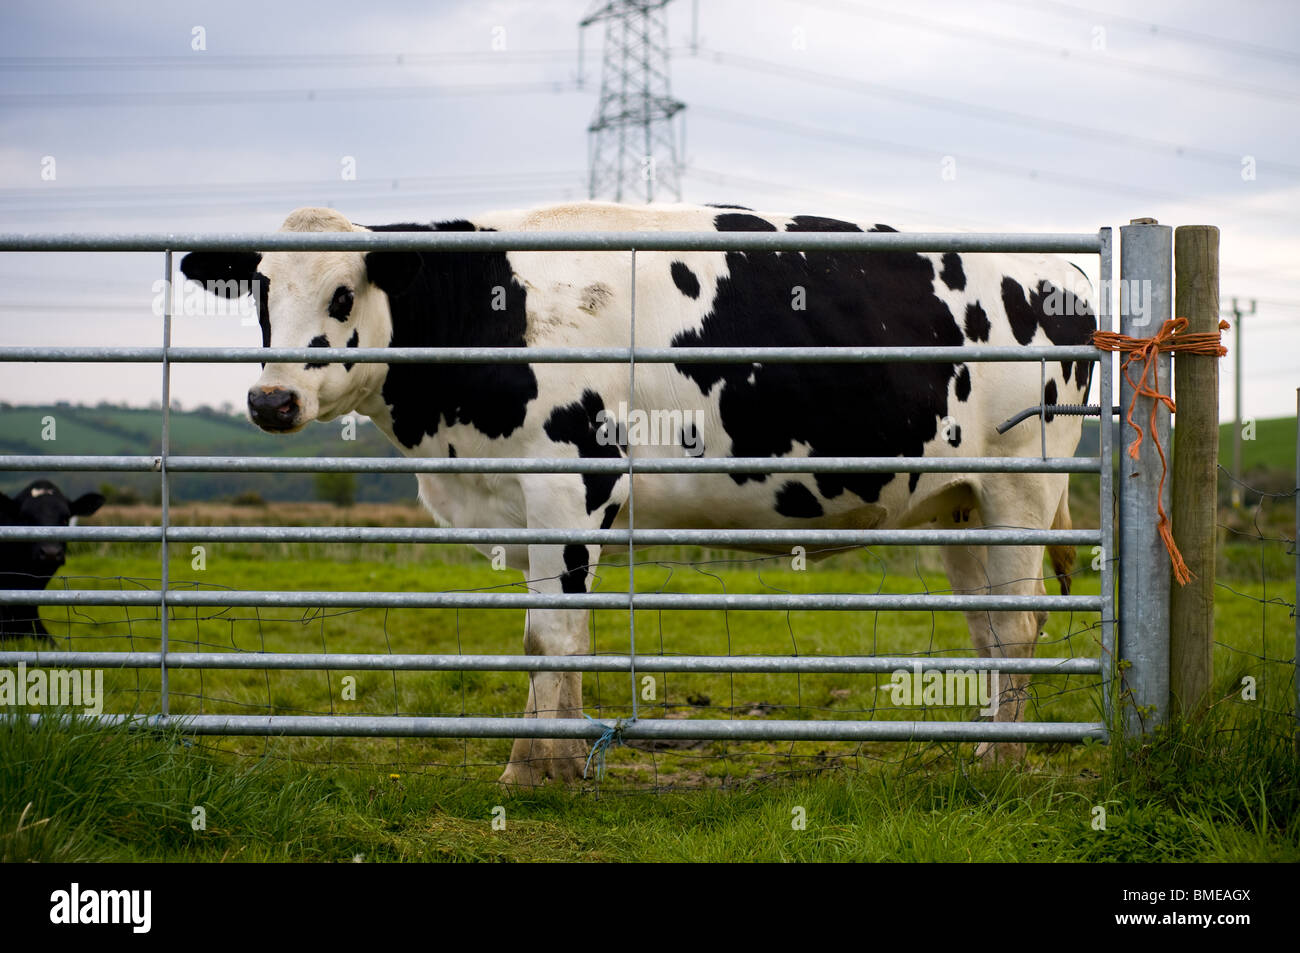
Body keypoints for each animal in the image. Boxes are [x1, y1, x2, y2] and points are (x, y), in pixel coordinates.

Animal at [180, 202, 1095, 784]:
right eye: (261, 294)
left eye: (342, 293)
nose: (271, 400)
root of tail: (1059, 270)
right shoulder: (533, 503)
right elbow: (563, 633)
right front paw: (559, 755)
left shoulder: (572, 480)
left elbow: (550, 636)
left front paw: (532, 769)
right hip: (961, 505)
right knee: (989, 630)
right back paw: (984, 750)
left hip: (1021, 488)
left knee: (1018, 626)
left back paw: (1003, 763)